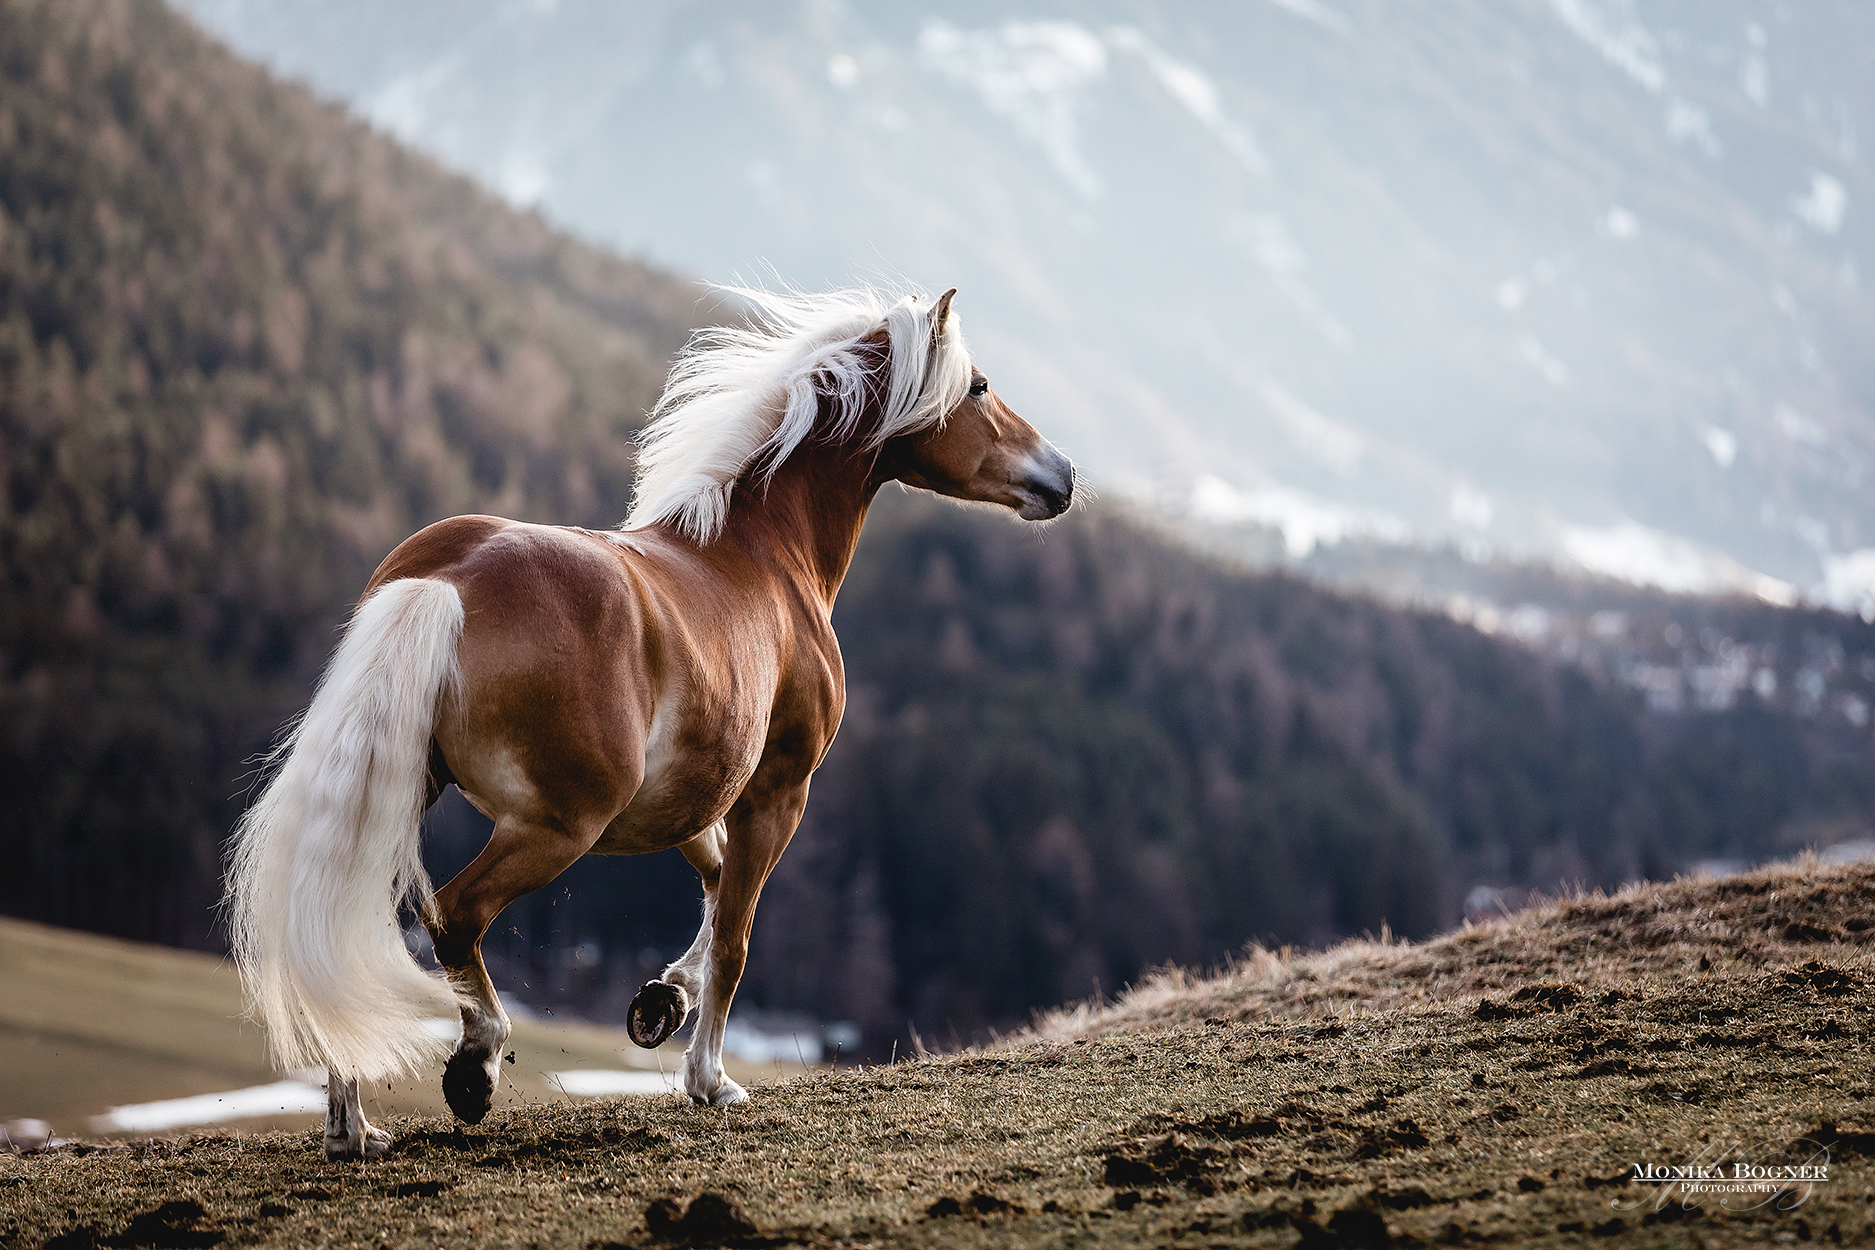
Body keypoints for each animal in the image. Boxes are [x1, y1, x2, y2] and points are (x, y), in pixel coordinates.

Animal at [225, 285, 1075, 1159]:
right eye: (978, 387)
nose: (1063, 476)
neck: (764, 553)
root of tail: (447, 580)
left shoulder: (690, 804)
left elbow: (715, 885)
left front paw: (660, 1001)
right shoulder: (777, 791)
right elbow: (736, 931)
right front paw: (709, 1079)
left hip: (406, 784)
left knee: (339, 917)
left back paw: (352, 1126)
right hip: (557, 826)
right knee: (452, 916)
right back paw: (473, 1067)